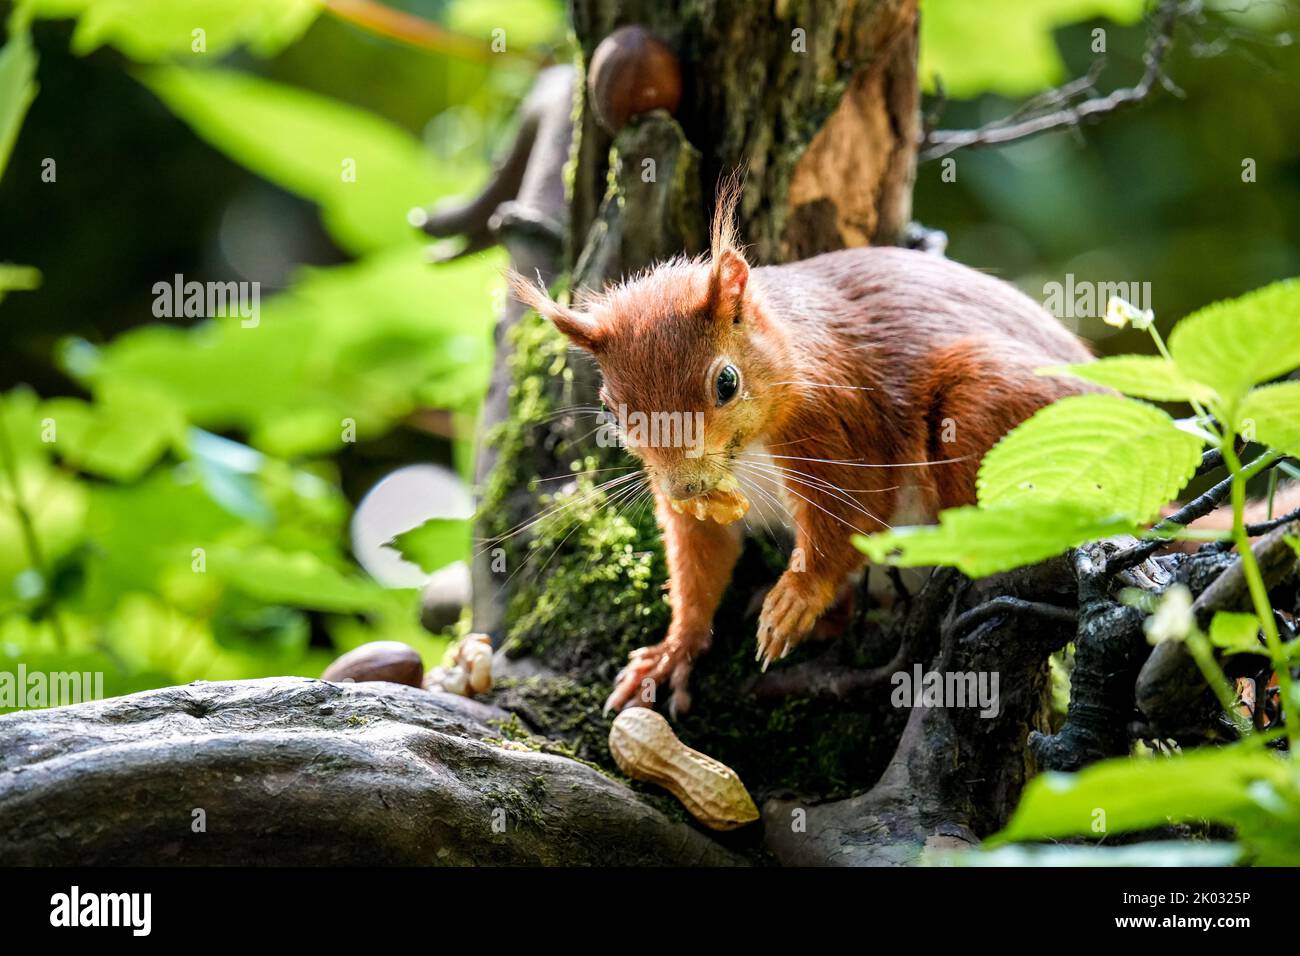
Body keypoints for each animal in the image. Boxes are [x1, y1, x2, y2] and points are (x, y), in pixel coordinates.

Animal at [509, 187, 1097, 716]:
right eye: (610, 410)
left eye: (726, 382)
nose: (685, 486)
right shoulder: (705, 509)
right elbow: (700, 558)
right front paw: (673, 649)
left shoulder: (841, 421)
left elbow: (851, 519)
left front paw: (798, 596)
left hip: (990, 403)